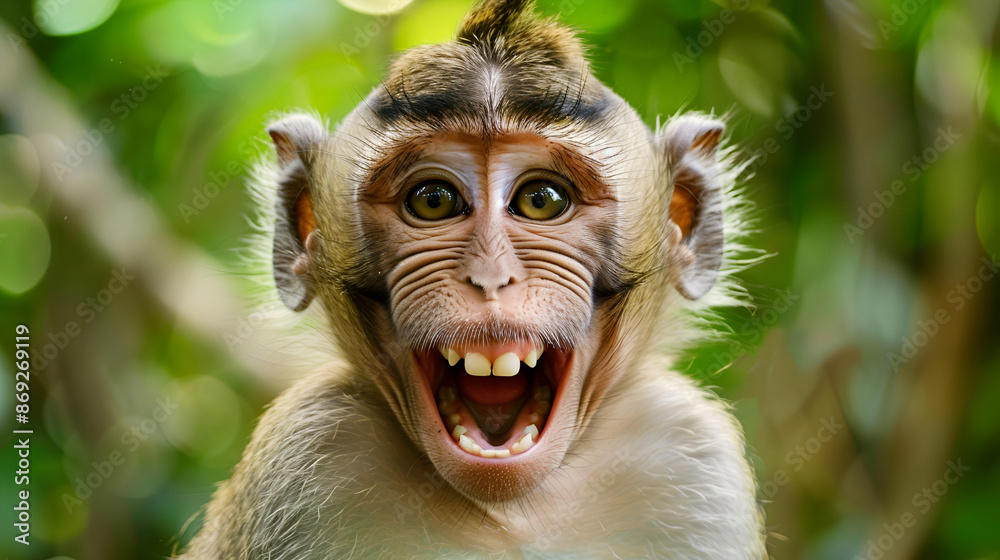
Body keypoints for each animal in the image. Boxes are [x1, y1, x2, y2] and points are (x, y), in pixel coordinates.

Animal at [177, 0, 766, 557]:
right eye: (433, 200)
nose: (490, 278)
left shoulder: (689, 453)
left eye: (541, 199)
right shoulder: (306, 453)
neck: (515, 511)